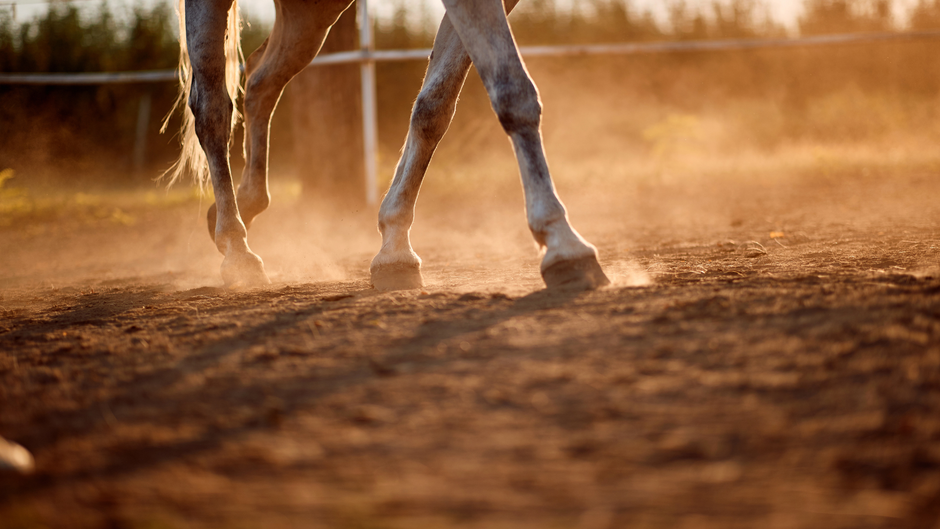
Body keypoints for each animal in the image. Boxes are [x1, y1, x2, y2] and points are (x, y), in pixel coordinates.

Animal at [166, 0, 610, 291]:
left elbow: (434, 108)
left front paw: (394, 248)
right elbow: (513, 92)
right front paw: (564, 243)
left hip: (311, 12)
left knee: (260, 80)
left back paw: (242, 206)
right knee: (212, 108)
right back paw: (236, 249)